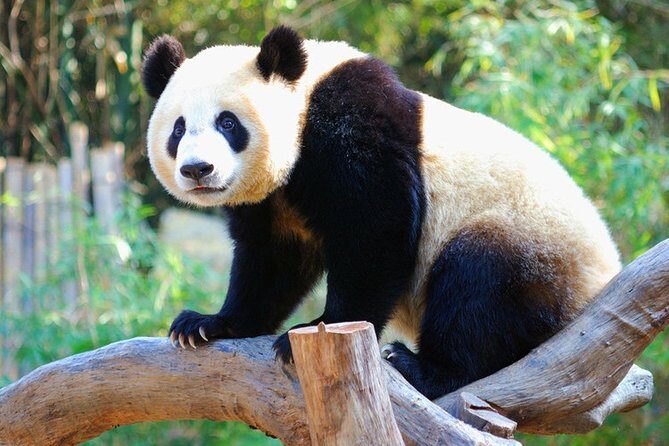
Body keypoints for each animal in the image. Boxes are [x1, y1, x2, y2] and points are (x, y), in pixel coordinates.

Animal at [142, 26, 621, 399]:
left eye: (227, 123)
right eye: (178, 129)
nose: (198, 169)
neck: (304, 96)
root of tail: (596, 288)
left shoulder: (350, 122)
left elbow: (374, 230)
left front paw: (316, 328)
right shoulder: (272, 200)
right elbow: (273, 260)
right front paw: (208, 324)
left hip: (534, 244)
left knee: (479, 285)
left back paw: (421, 366)